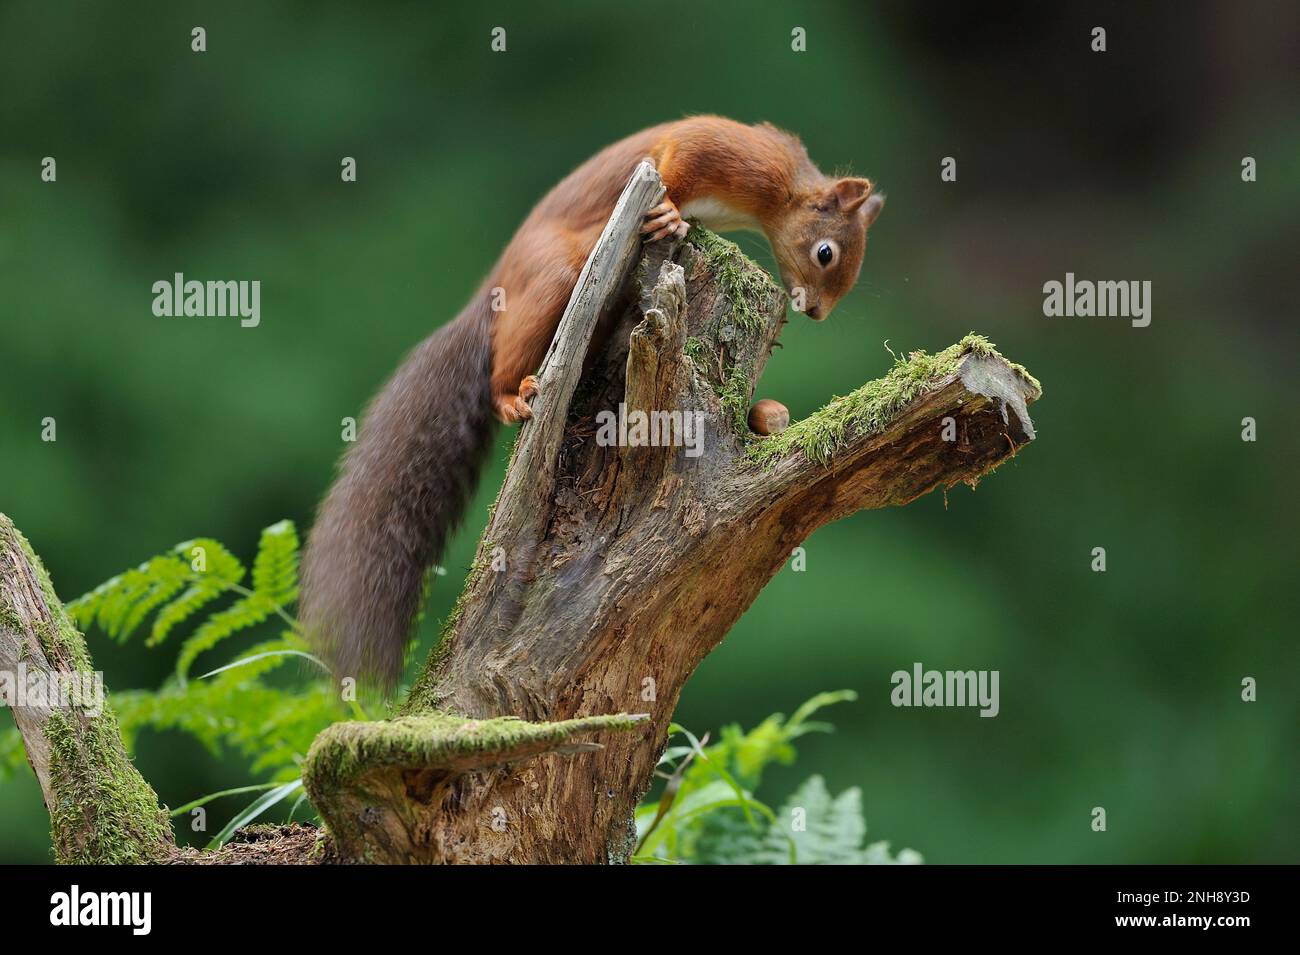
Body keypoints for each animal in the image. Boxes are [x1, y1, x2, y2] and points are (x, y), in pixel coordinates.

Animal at [300, 115, 886, 685]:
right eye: (826, 252)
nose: (816, 312)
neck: (785, 186)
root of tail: (497, 279)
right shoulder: (733, 155)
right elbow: (681, 155)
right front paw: (671, 213)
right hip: (553, 276)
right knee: (504, 359)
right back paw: (513, 395)